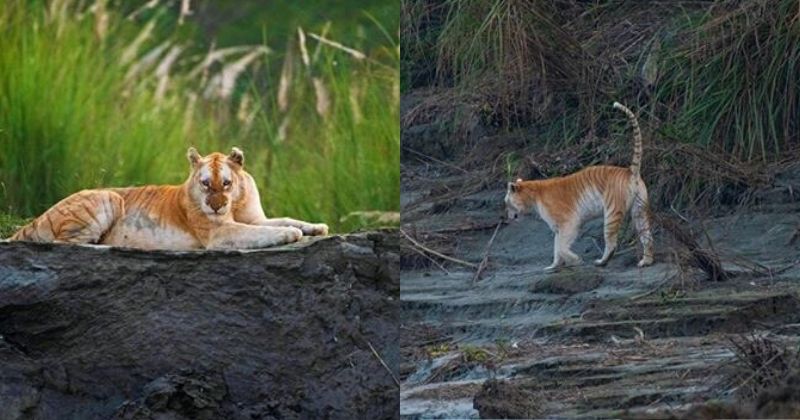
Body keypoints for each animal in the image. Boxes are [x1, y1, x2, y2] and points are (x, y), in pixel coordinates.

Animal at [10, 147, 329, 250]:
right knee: (65, 244)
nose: (216, 206)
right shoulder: (219, 232)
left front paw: (316, 227)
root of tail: (33, 221)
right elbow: (263, 232)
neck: (235, 203)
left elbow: (282, 218)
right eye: (205, 184)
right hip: (106, 197)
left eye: (226, 183)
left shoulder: (254, 217)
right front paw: (292, 233)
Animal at [504, 101, 654, 272]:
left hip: (611, 213)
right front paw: (553, 266)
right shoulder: (558, 228)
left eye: (507, 203)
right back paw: (646, 261)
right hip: (639, 210)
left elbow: (562, 247)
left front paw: (576, 261)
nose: (507, 218)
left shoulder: (569, 221)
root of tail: (630, 171)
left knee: (611, 242)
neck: (533, 195)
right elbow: (556, 247)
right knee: (647, 236)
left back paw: (602, 261)